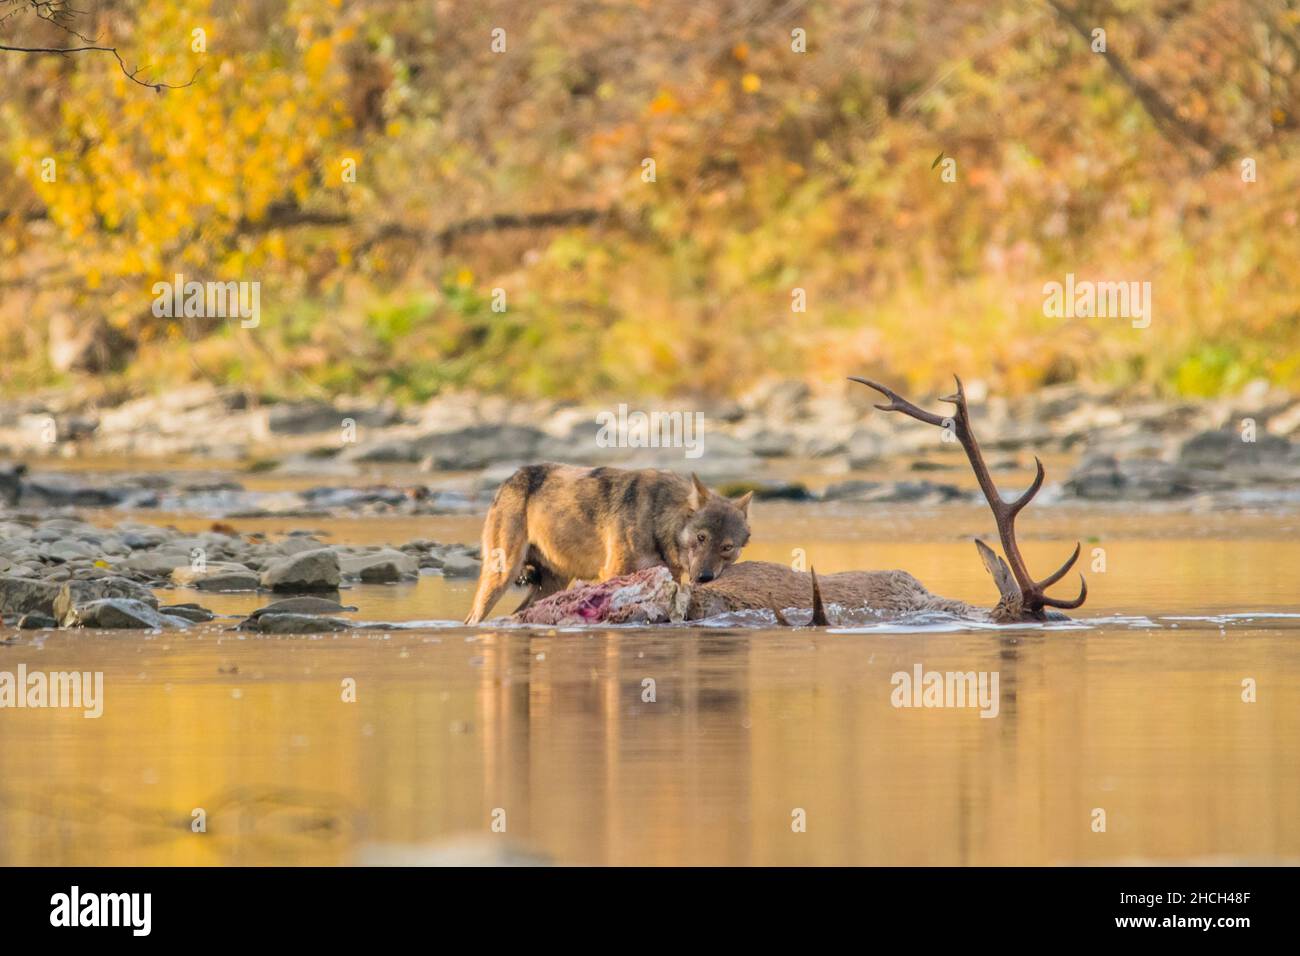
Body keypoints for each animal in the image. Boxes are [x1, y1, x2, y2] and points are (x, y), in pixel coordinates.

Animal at [463, 464, 752, 625]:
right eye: (701, 538)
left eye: (726, 547)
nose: (704, 577)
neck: (658, 518)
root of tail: (511, 477)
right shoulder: (612, 573)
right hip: (501, 576)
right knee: (473, 618)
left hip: (551, 585)